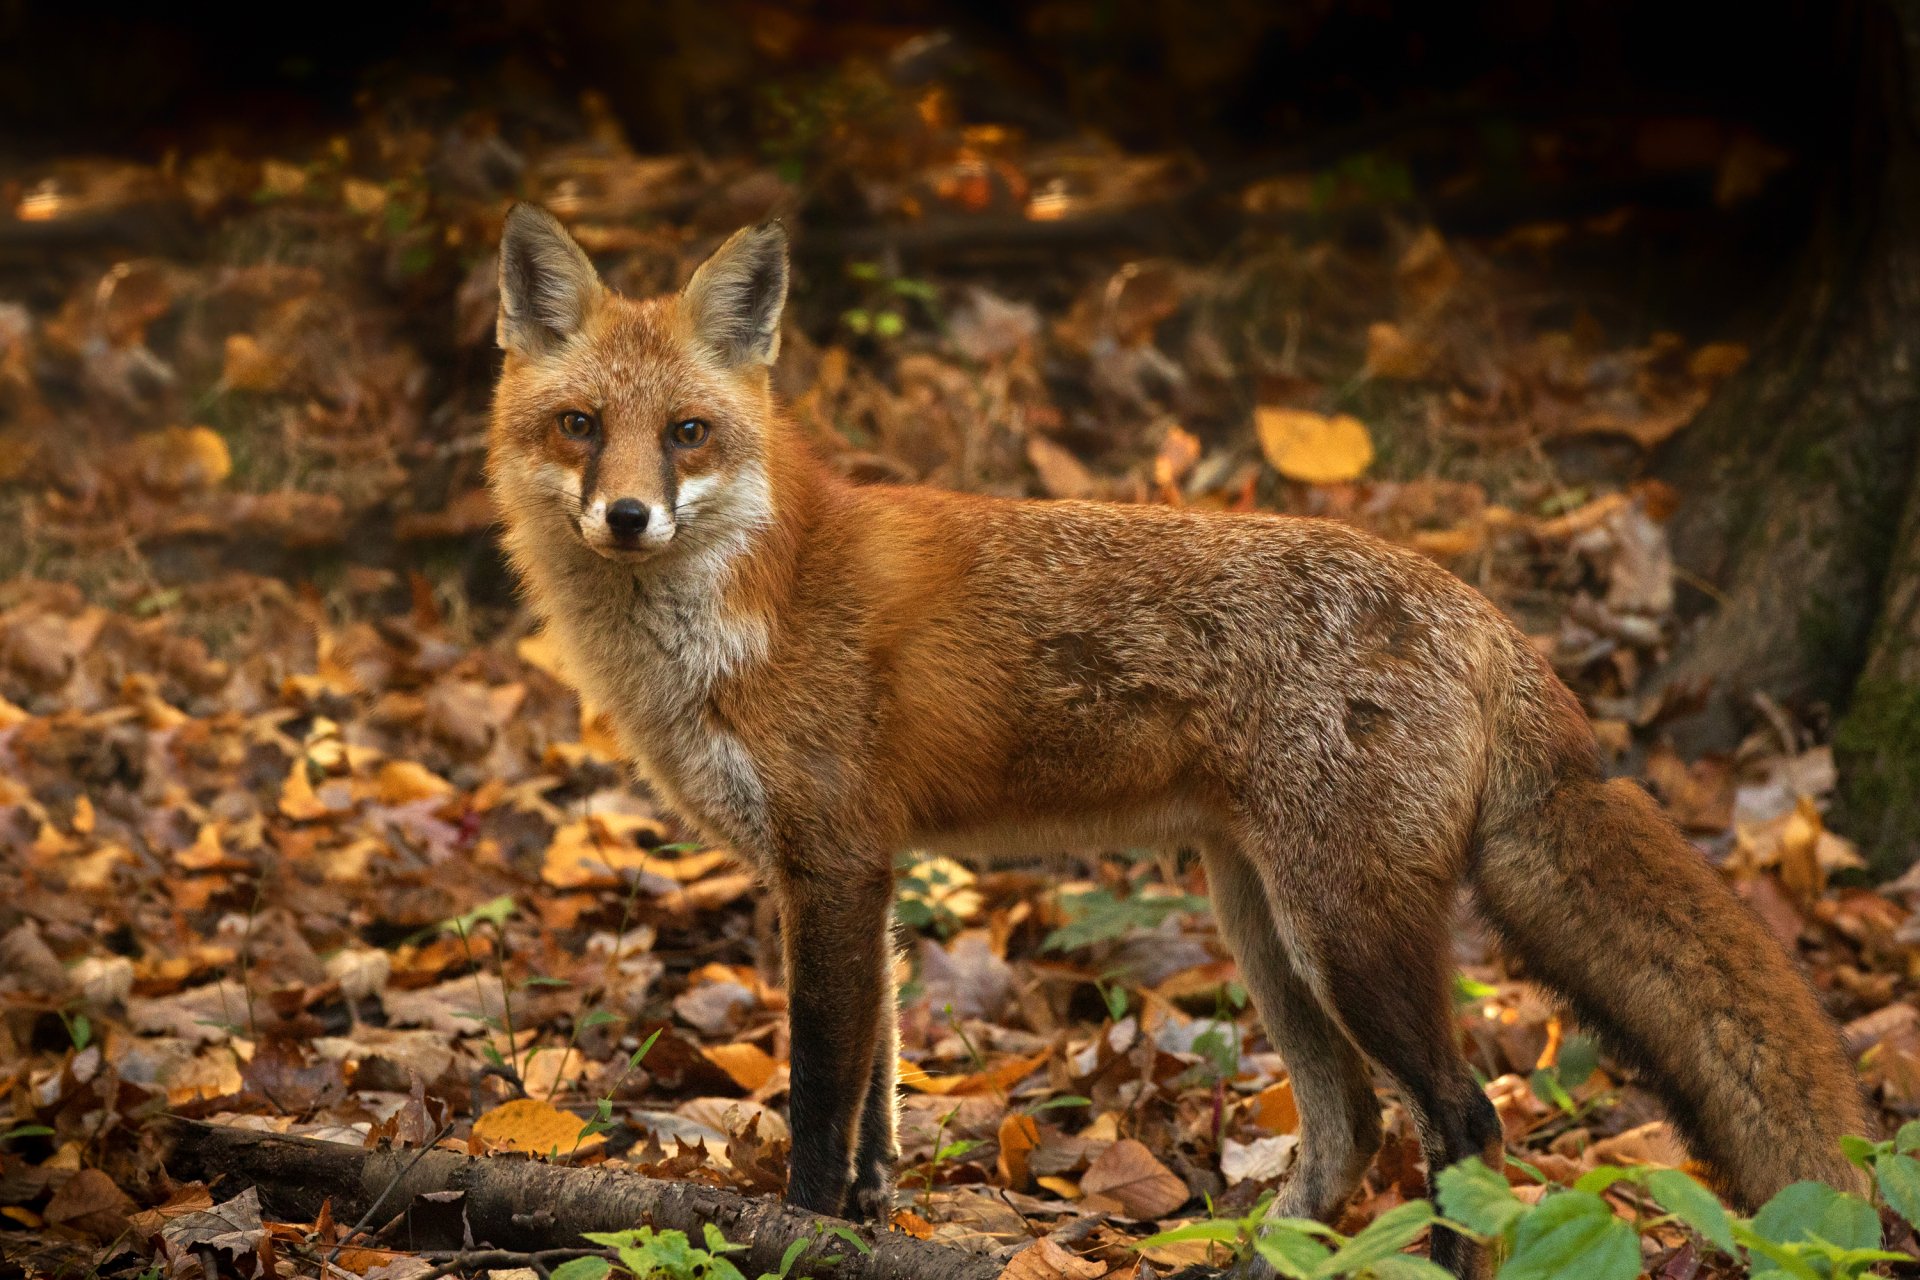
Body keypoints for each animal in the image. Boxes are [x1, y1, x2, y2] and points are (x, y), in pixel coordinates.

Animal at [485, 202, 1869, 1276]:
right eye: (578, 426)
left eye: (688, 434)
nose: (625, 516)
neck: (752, 600)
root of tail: (1486, 616)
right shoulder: (862, 872)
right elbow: (882, 1091)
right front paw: (871, 1220)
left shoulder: (829, 857)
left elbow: (825, 1094)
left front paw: (803, 1231)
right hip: (1263, 921)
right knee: (1352, 1127)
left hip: (1346, 932)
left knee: (1465, 1121)